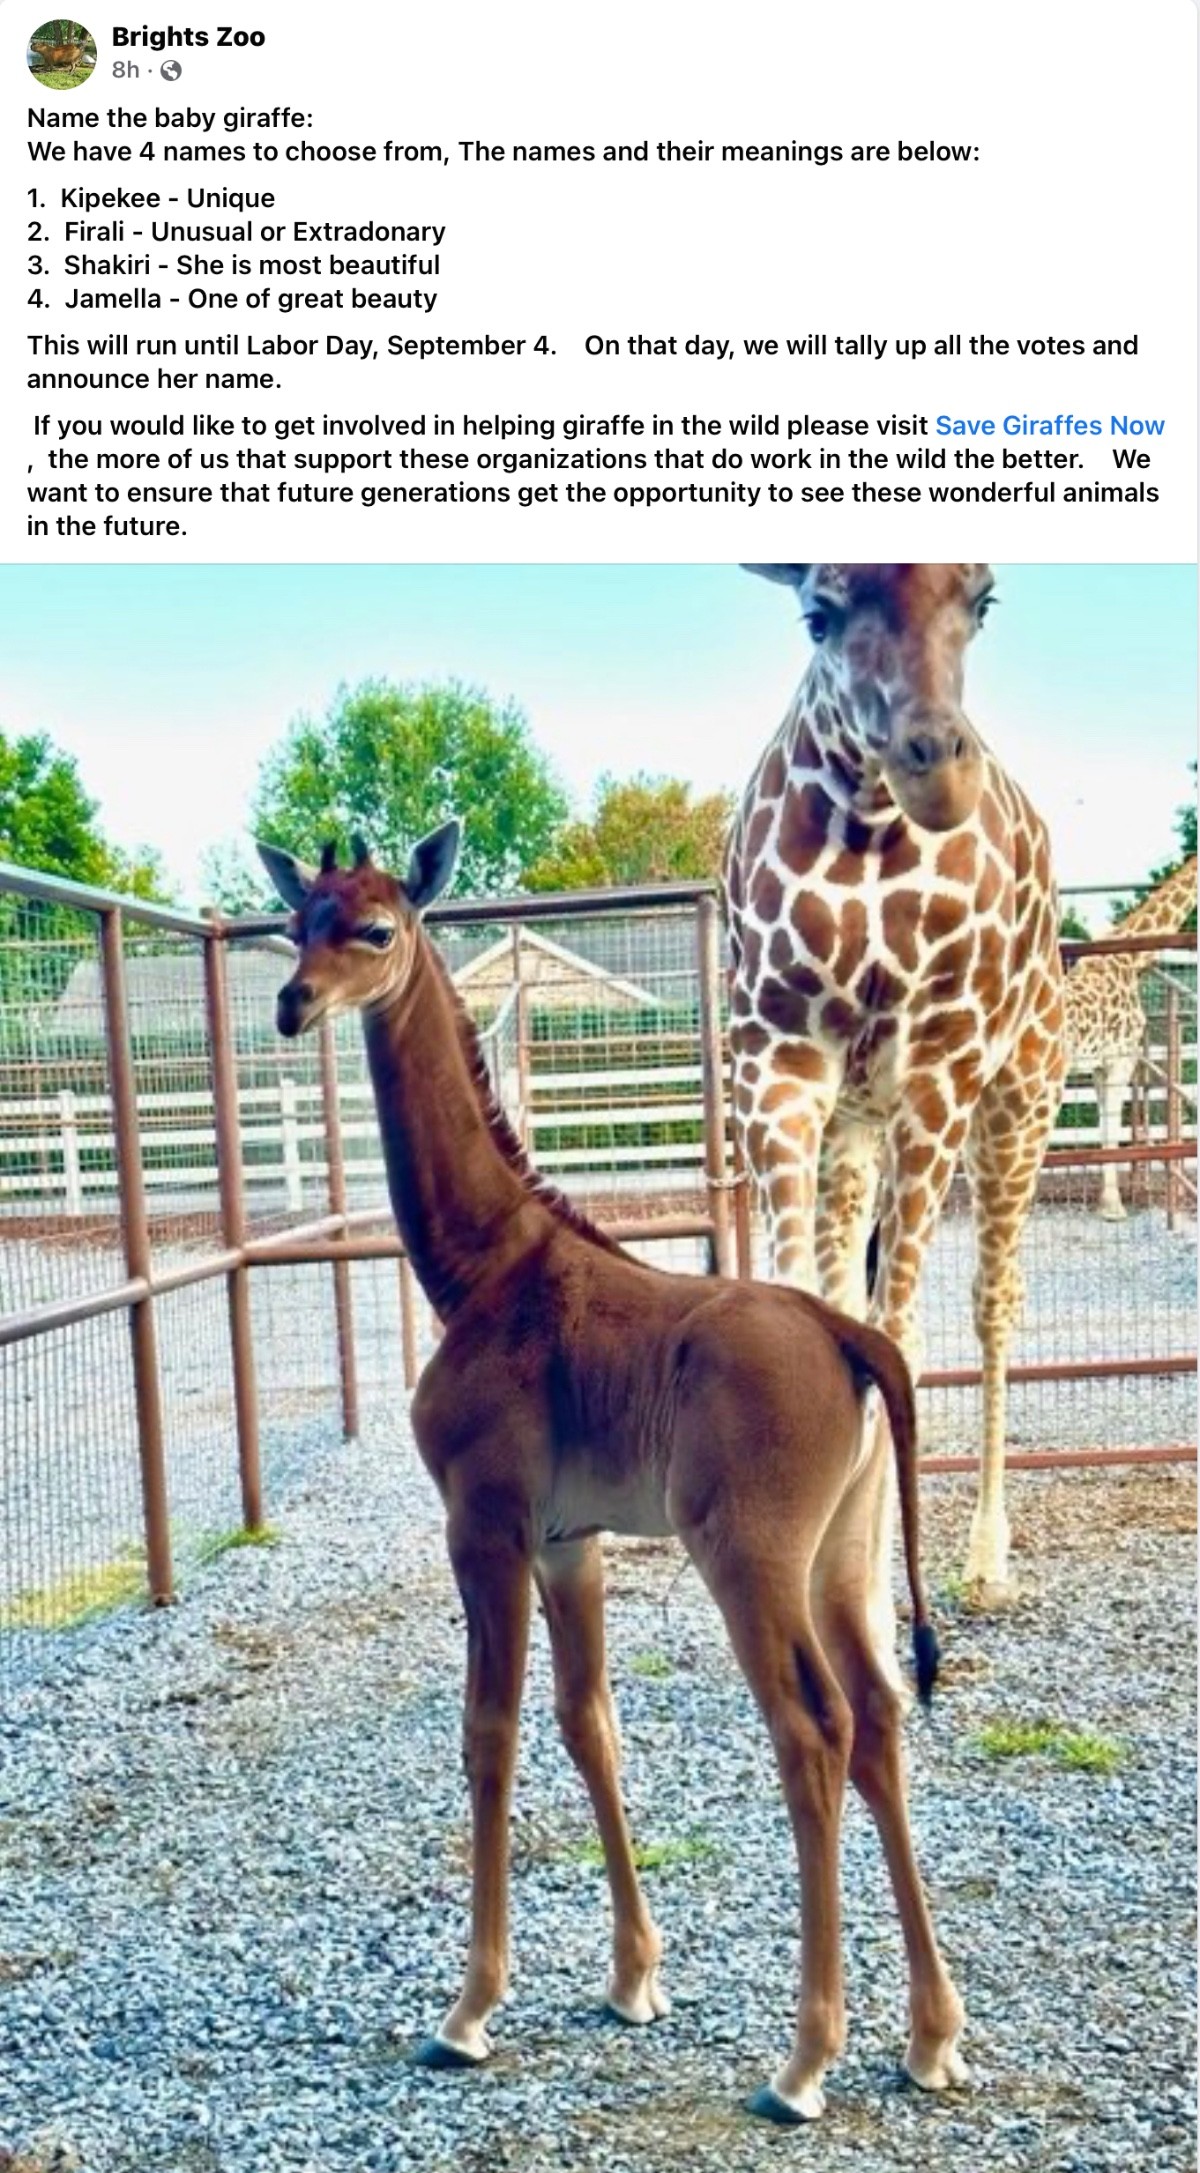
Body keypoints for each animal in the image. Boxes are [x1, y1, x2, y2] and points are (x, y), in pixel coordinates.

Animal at [724, 564, 1065, 1609]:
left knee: (995, 1298)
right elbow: (810, 1316)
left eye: (984, 601)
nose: (935, 768)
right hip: (855, 1125)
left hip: (1020, 1098)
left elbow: (901, 1336)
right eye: (817, 613)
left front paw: (871, 1601)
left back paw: (987, 1559)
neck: (869, 831)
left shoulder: (938, 1070)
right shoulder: (776, 1062)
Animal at [1062, 856, 1196, 1220]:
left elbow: (1104, 1126)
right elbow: (1111, 1127)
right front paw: (1113, 1206)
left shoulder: (1100, 1065)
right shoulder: (1121, 1059)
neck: (1129, 957)